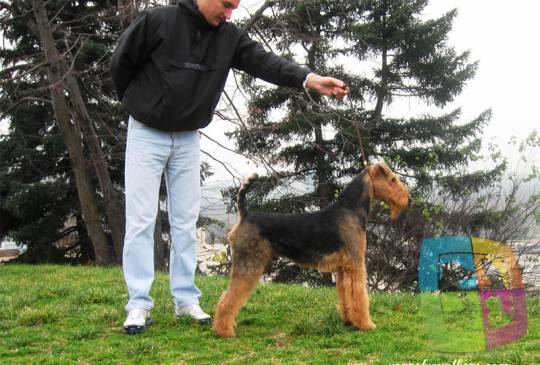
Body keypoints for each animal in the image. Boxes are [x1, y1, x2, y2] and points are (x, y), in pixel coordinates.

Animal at [213, 161, 408, 336]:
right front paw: (366, 324)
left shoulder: (343, 269)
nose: (407, 199)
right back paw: (224, 331)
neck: (351, 209)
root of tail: (245, 216)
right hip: (249, 264)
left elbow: (345, 297)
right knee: (226, 299)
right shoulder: (356, 265)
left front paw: (348, 320)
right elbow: (360, 297)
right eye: (392, 179)